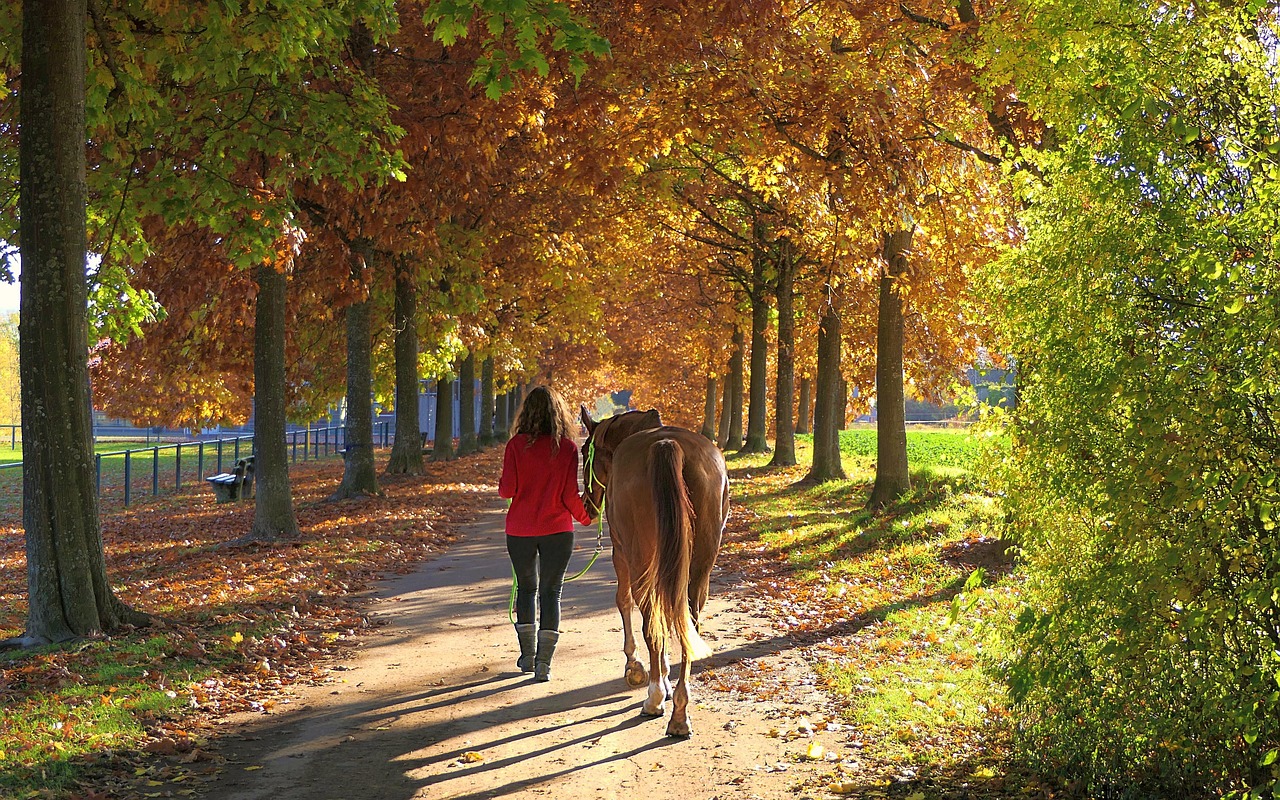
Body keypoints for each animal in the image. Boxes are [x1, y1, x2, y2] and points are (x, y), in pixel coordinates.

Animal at [579, 407, 730, 738]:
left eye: (584, 452)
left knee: (650, 619)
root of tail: (666, 444)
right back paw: (680, 711)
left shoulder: (620, 554)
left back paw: (654, 698)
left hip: (638, 560)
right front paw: (665, 679)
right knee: (688, 620)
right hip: (700, 568)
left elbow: (626, 603)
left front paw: (638, 669)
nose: (586, 506)